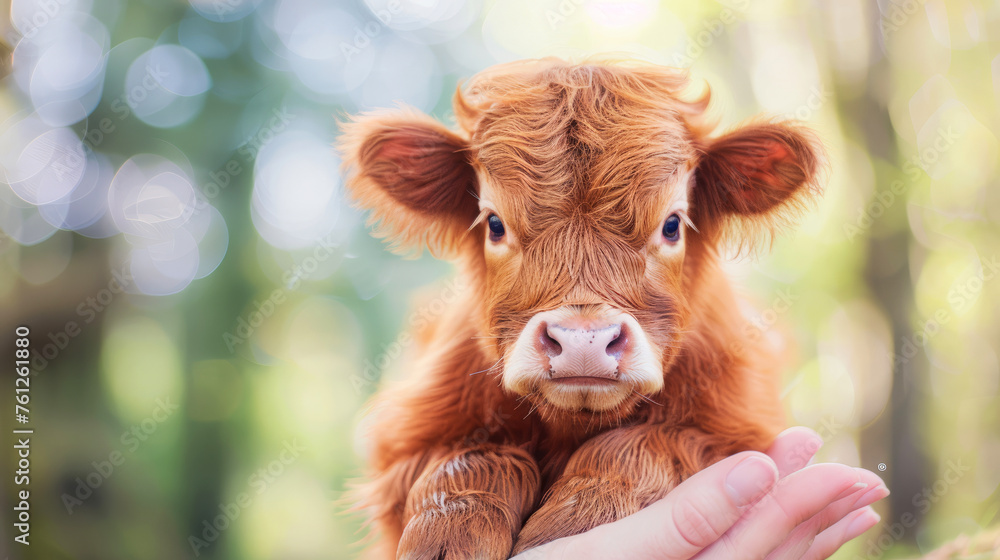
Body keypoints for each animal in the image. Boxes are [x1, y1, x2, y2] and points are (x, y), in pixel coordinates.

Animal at [340, 57, 826, 559]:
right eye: (494, 224)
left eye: (672, 225)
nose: (583, 342)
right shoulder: (407, 447)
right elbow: (467, 461)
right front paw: (445, 534)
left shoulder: (733, 433)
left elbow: (640, 447)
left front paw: (578, 517)